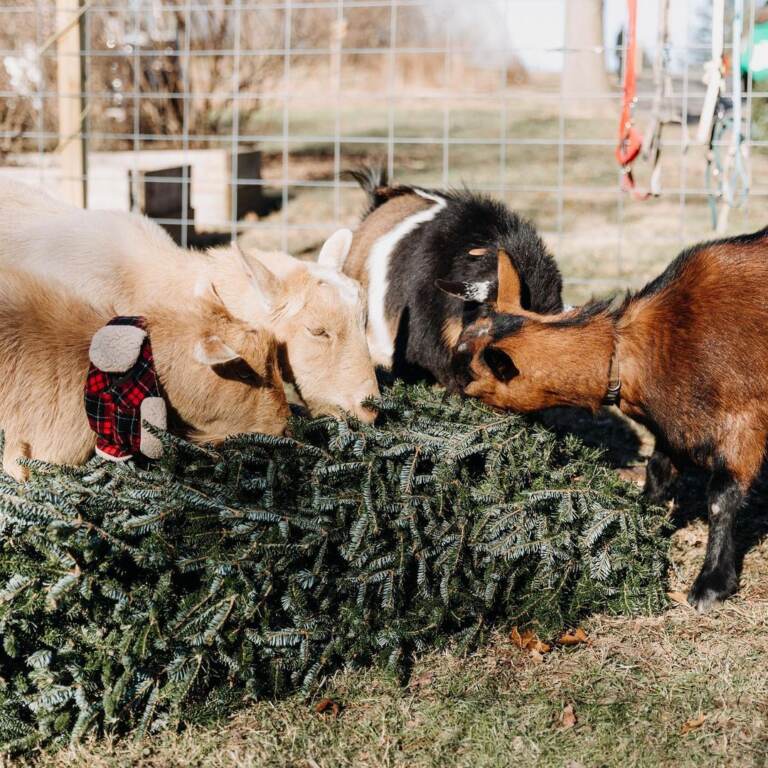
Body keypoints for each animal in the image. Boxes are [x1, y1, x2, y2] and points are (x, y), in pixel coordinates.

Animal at [451, 231, 768, 611]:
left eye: (468, 382)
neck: (635, 352)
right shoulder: (674, 426)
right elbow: (658, 471)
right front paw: (639, 517)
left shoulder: (745, 422)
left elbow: (721, 499)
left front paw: (712, 584)